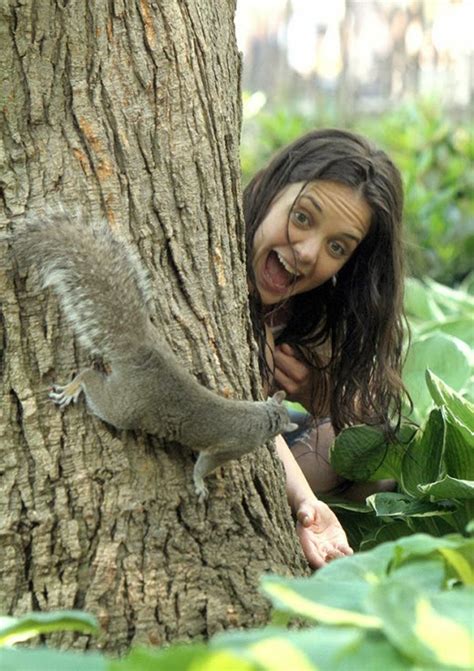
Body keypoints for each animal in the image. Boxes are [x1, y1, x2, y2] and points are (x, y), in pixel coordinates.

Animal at [11, 209, 297, 499]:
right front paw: (200, 484)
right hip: (124, 406)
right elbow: (205, 464)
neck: (263, 417)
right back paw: (72, 387)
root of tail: (142, 351)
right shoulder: (229, 448)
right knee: (91, 379)